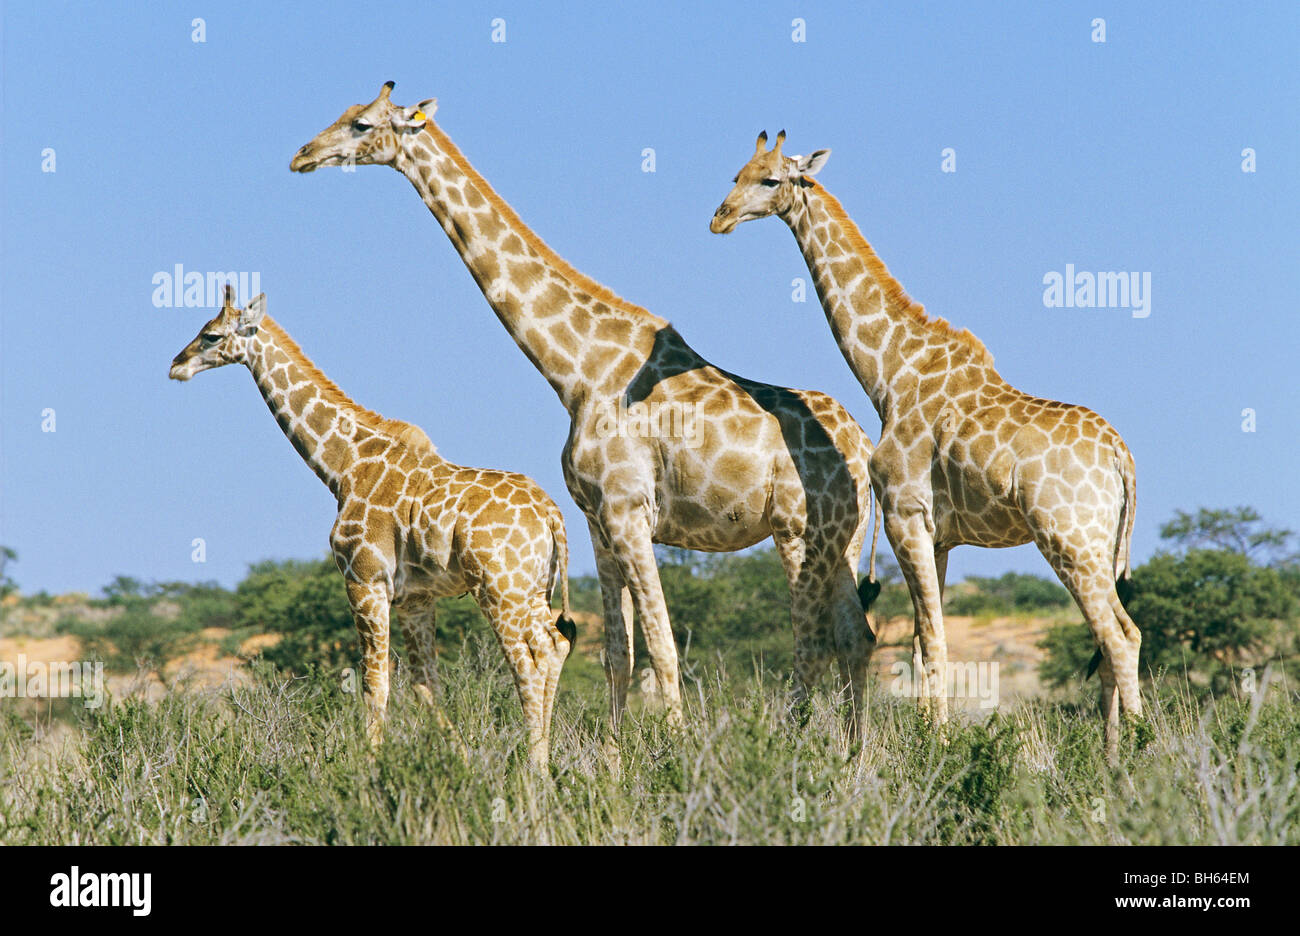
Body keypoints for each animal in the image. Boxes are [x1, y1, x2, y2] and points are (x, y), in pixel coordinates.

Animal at [169, 285, 577, 767]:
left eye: (211, 335)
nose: (176, 365)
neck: (343, 466)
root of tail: (552, 514)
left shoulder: (364, 580)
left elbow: (374, 684)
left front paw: (369, 768)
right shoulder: (415, 598)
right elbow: (424, 685)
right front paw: (461, 760)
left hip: (498, 588)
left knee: (528, 661)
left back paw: (535, 769)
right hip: (533, 588)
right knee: (555, 646)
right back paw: (542, 760)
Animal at [290, 83, 883, 740]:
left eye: (361, 123)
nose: (302, 155)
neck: (574, 371)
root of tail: (862, 444)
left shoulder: (630, 513)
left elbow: (662, 644)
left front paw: (677, 751)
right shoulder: (597, 521)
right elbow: (616, 654)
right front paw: (615, 756)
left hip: (799, 530)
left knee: (813, 641)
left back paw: (796, 743)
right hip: (842, 537)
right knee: (856, 636)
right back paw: (855, 754)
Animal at [710, 132, 1141, 762]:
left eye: (770, 180)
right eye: (737, 173)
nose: (719, 218)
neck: (891, 373)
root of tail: (1122, 457)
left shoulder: (904, 514)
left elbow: (933, 643)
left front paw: (933, 749)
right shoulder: (940, 535)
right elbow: (920, 641)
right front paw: (927, 739)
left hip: (1069, 537)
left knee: (1121, 635)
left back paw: (1138, 751)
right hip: (1102, 544)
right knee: (1109, 641)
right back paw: (1108, 757)